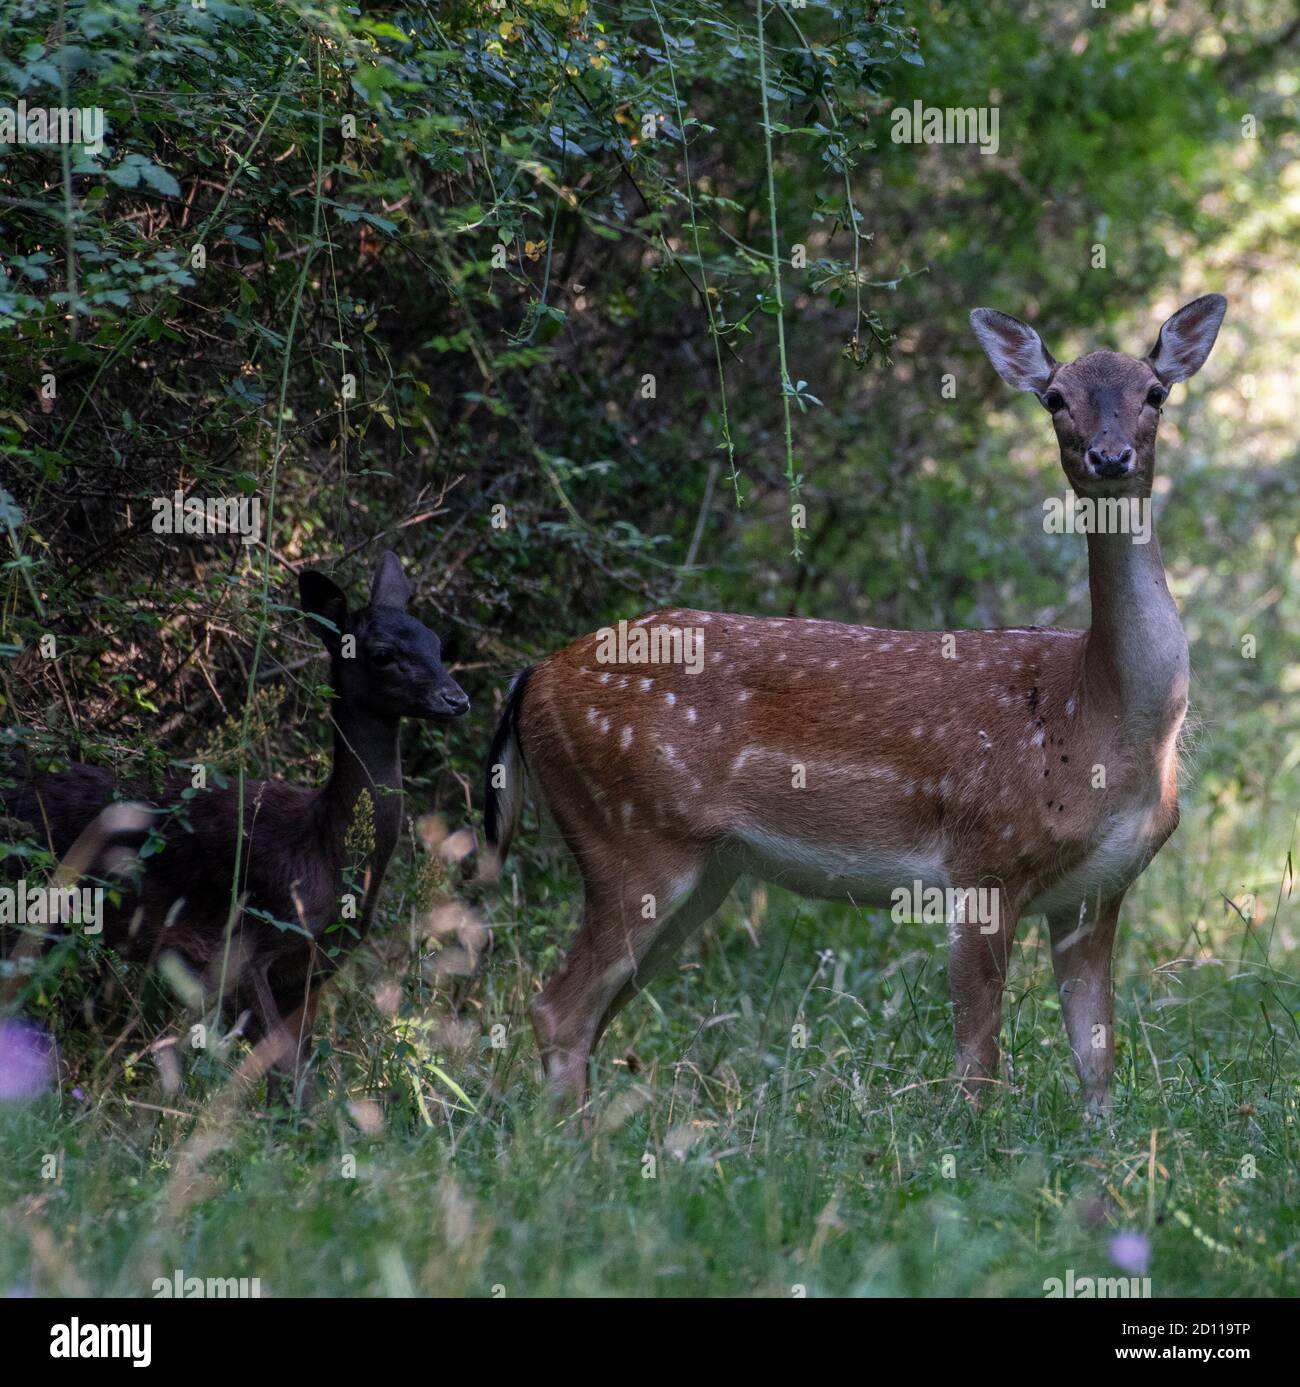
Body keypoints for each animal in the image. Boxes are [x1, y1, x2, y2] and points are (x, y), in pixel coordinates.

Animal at [1, 550, 469, 1092]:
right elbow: (291, 1077)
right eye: (382, 654)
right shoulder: (239, 947)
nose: (456, 698)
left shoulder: (313, 971)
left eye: (435, 642)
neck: (326, 849)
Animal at [484, 295, 1227, 1112]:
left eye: (1154, 393)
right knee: (559, 1008)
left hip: (702, 868)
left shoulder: (1096, 893)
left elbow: (1098, 1068)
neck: (1095, 721)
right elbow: (977, 1066)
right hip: (630, 833)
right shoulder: (983, 860)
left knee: (591, 1013)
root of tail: (529, 678)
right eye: (1056, 398)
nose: (1110, 457)